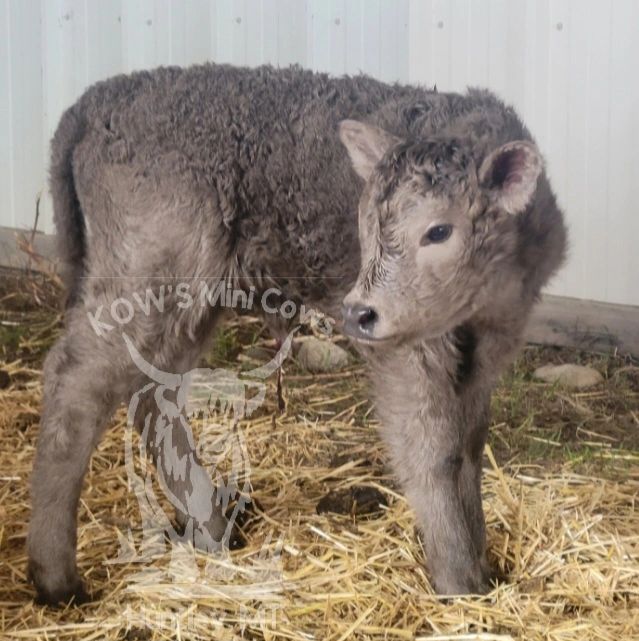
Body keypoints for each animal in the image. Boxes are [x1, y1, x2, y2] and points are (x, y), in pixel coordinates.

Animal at [27, 63, 566, 604]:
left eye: (439, 231)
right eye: (365, 228)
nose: (359, 312)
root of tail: (95, 102)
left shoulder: (491, 348)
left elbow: (469, 449)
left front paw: (481, 564)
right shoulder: (407, 351)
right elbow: (432, 451)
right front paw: (460, 583)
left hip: (191, 297)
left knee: (153, 395)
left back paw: (210, 528)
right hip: (148, 275)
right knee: (76, 383)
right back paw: (56, 576)